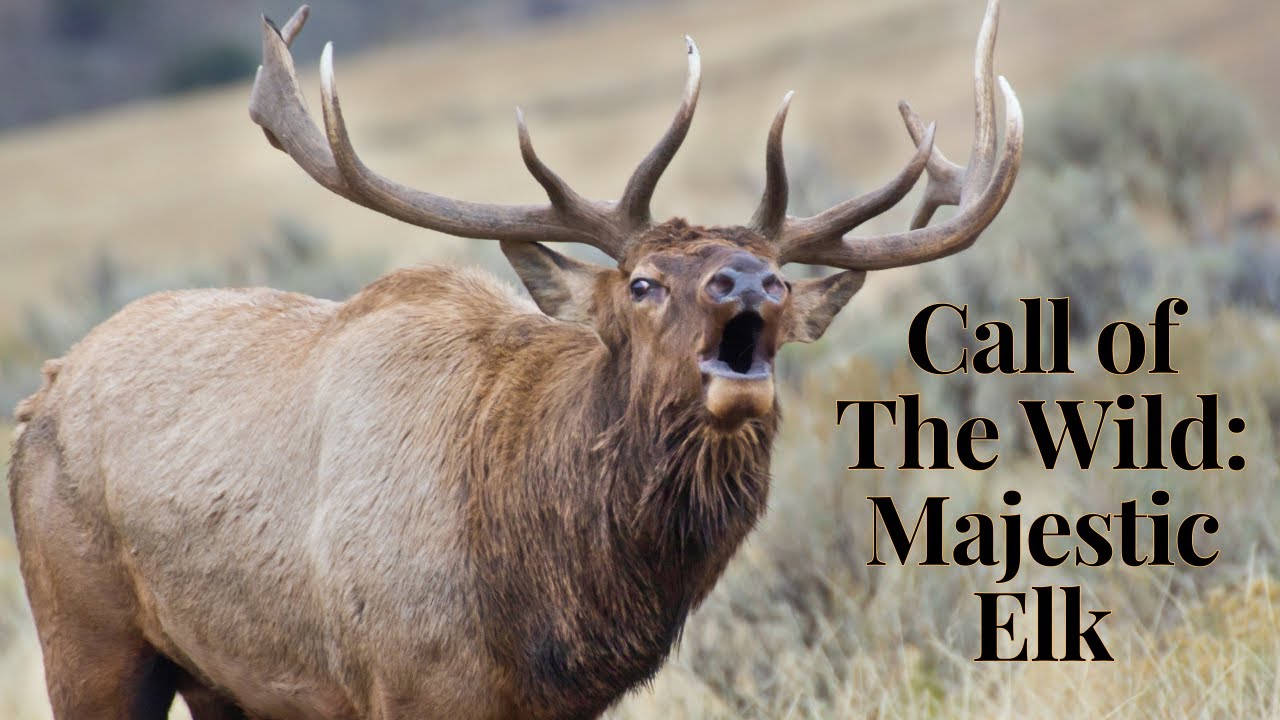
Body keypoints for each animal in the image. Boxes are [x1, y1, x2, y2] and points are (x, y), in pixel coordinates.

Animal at [8, 1, 1021, 718]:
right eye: (644, 282)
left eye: (773, 273)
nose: (751, 284)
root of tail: (44, 390)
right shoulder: (411, 685)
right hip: (85, 631)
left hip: (225, 681)